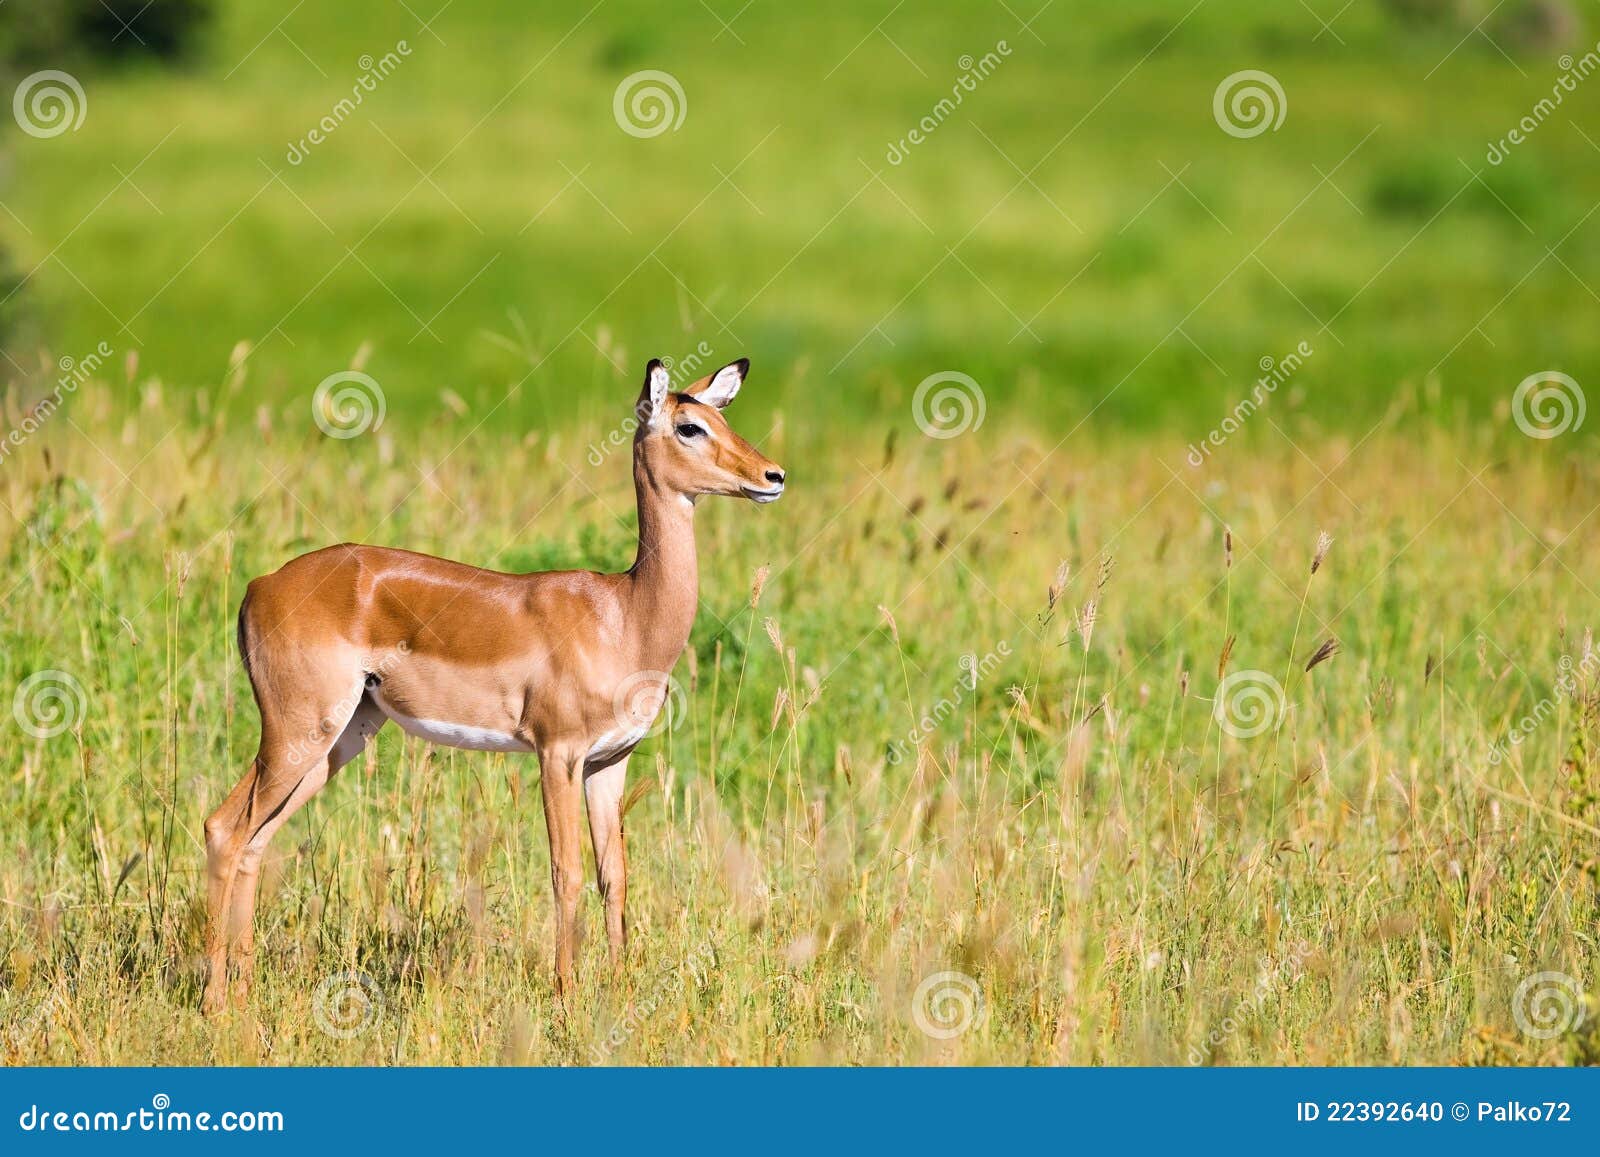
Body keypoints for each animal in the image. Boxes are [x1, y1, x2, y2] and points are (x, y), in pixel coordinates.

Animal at [201, 357, 784, 1014]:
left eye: (723, 418)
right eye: (689, 426)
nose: (773, 475)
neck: (626, 616)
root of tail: (259, 585)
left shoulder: (610, 761)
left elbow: (614, 875)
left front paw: (619, 992)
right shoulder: (557, 752)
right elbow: (565, 872)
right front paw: (566, 997)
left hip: (338, 739)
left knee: (255, 841)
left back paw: (244, 993)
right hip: (297, 732)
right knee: (224, 829)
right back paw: (214, 1001)